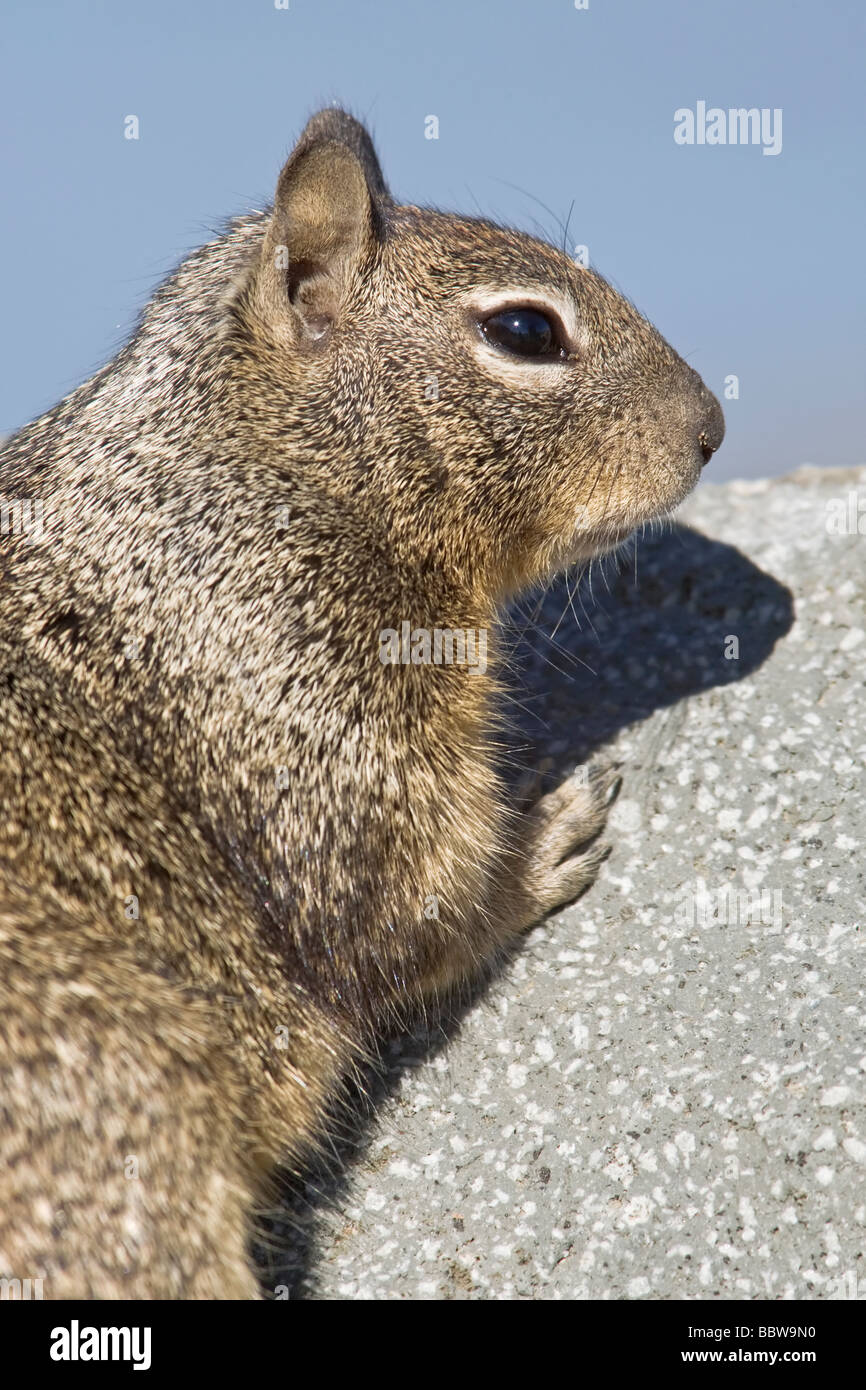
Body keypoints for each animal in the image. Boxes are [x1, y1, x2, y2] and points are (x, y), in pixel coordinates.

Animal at [0, 108, 723, 1298]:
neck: (251, 475)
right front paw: (545, 838)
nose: (712, 427)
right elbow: (417, 908)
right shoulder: (313, 719)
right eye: (525, 330)